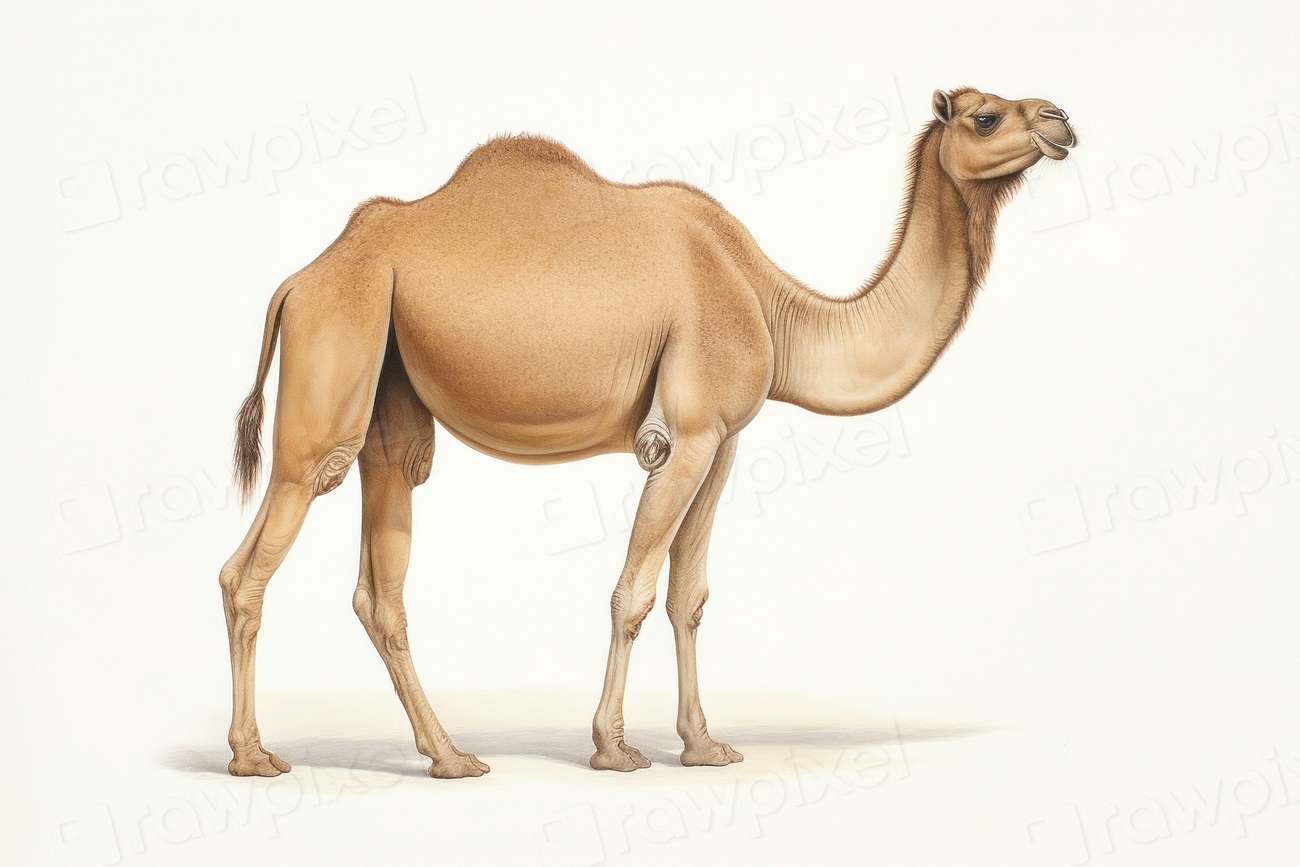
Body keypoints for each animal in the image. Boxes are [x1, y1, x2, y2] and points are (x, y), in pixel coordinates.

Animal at [219, 87, 1075, 778]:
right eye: (986, 115)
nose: (1060, 120)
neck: (770, 300)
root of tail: (297, 281)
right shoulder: (686, 434)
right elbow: (633, 590)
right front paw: (614, 747)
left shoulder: (723, 441)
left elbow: (688, 595)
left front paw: (704, 744)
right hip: (337, 355)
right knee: (261, 559)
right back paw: (255, 757)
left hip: (385, 393)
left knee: (364, 582)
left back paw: (450, 756)